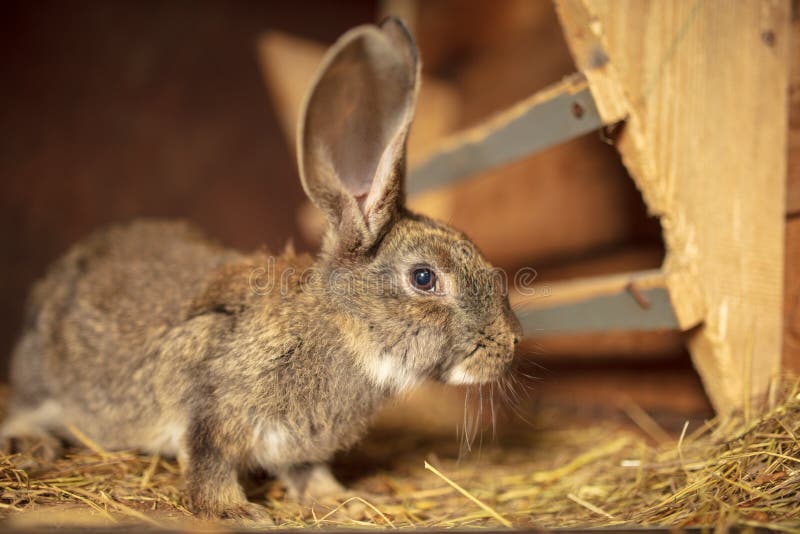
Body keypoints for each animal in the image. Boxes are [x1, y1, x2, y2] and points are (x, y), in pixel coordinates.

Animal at [1, 17, 522, 522]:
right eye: (424, 278)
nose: (512, 340)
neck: (338, 326)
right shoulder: (208, 406)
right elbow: (208, 463)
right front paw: (236, 510)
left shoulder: (301, 447)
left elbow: (309, 473)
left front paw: (344, 501)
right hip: (43, 383)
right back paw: (35, 444)